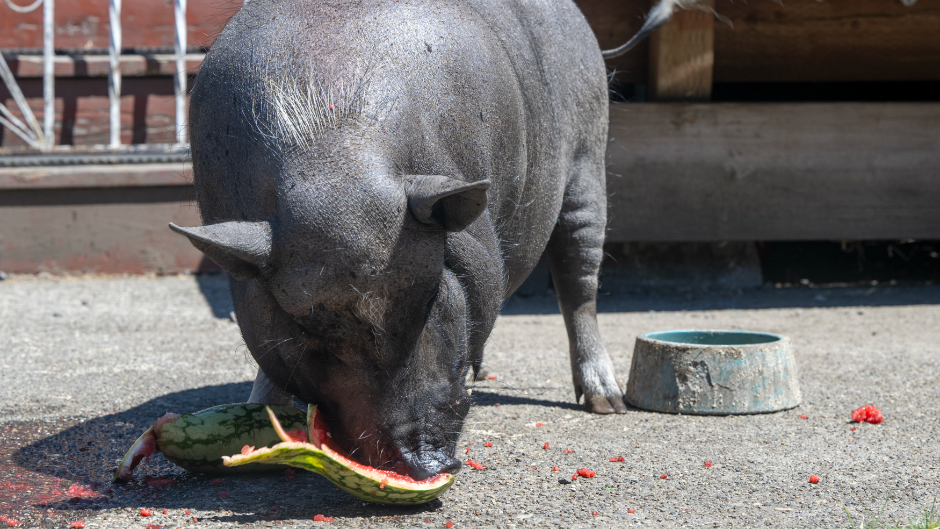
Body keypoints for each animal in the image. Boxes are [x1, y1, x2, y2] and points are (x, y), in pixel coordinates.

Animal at [170, 0, 633, 481]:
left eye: (430, 298)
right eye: (308, 329)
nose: (426, 461)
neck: (330, 153)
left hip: (588, 158)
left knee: (578, 282)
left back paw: (608, 404)